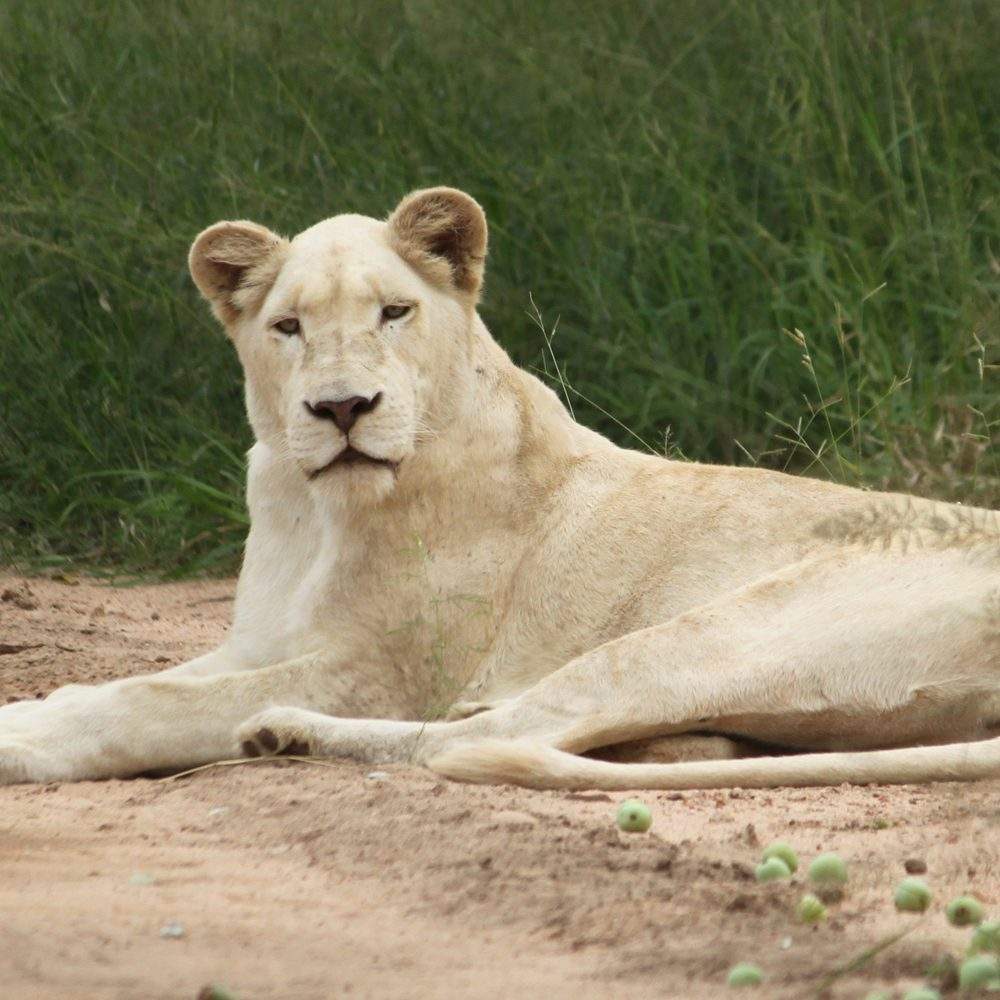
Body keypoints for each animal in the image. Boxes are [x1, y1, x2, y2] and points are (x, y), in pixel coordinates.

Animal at [2, 186, 999, 790]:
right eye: (287, 327)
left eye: (393, 313)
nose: (342, 407)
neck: (315, 511)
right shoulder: (259, 640)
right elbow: (136, 682)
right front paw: (35, 706)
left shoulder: (381, 673)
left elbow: (152, 702)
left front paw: (26, 741)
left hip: (716, 628)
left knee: (479, 738)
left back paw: (287, 732)